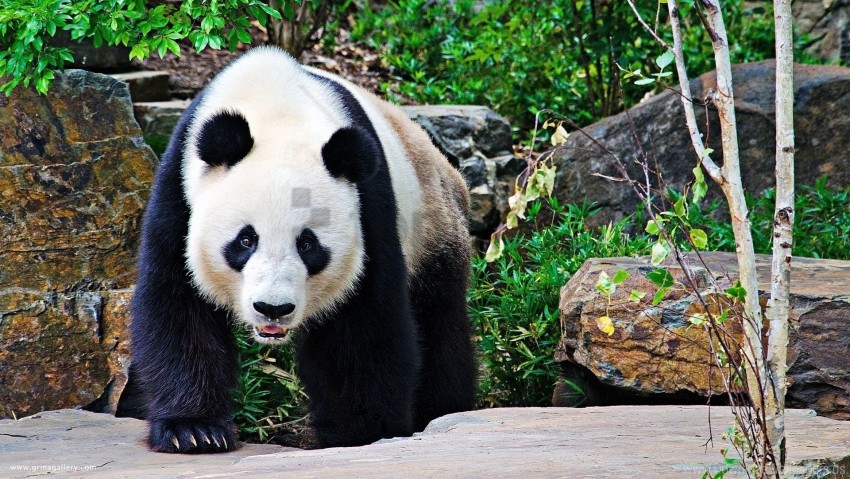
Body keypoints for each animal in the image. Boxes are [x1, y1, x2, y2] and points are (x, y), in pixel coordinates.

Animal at [130, 47, 477, 453]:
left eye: (307, 244)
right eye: (245, 240)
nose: (273, 309)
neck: (273, 104)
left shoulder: (369, 206)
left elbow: (362, 323)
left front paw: (361, 431)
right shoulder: (178, 192)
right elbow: (177, 302)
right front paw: (195, 431)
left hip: (432, 226)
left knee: (441, 325)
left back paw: (443, 409)